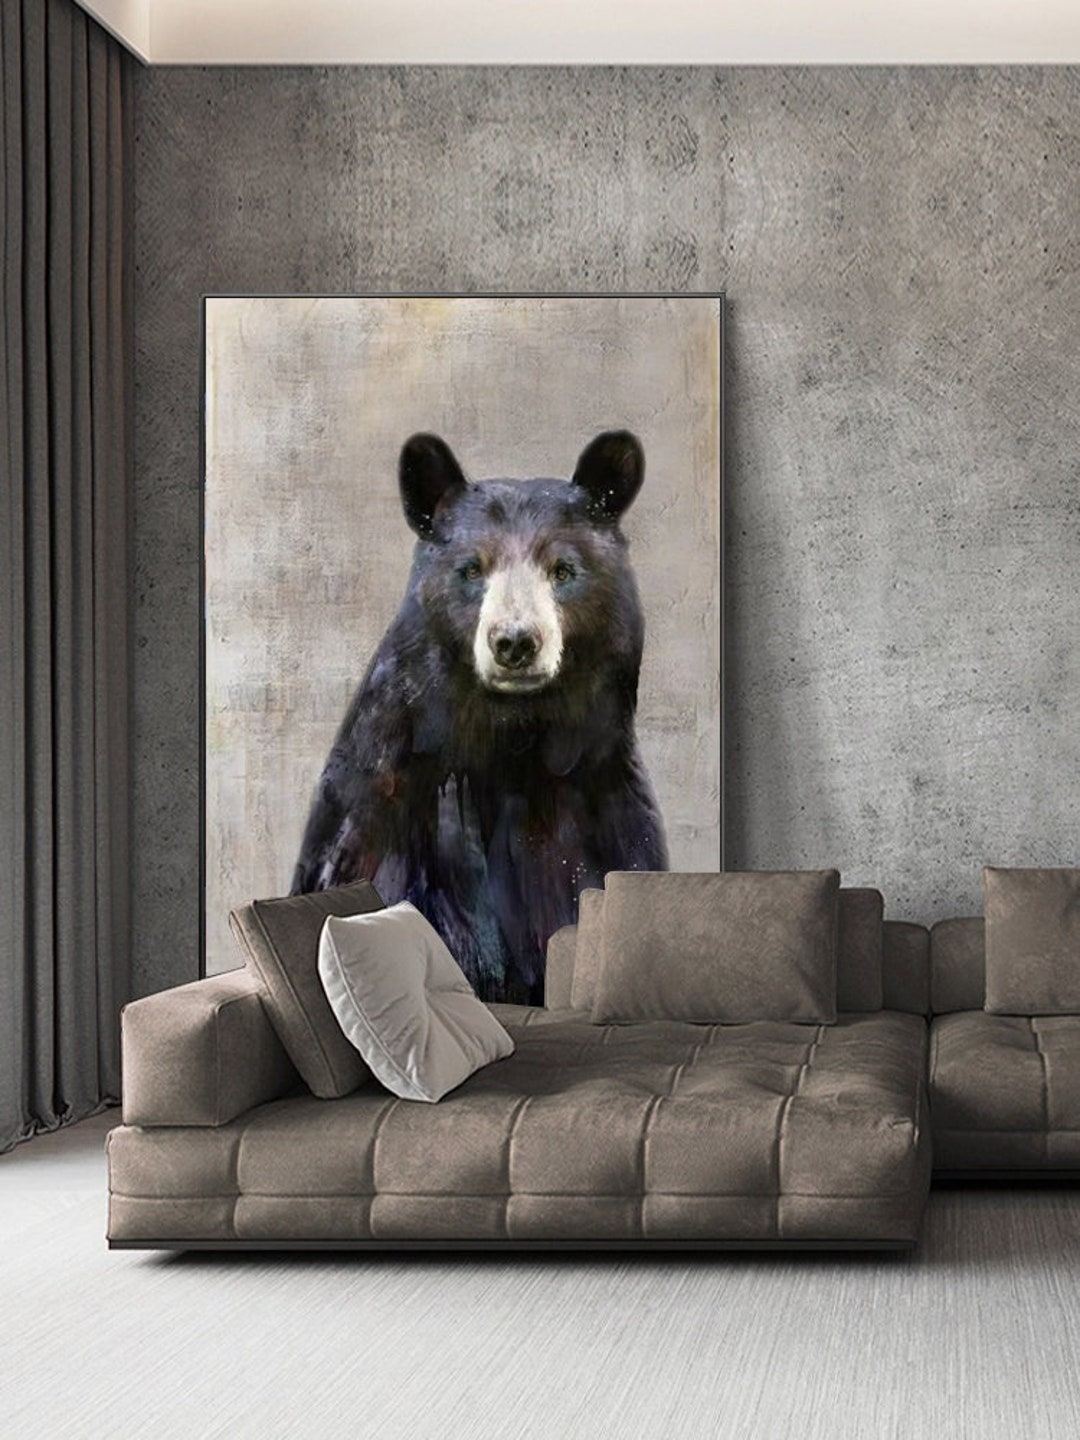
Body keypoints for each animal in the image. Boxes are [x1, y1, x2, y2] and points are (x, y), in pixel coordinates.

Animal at [291, 429, 668, 1003]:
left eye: (563, 570)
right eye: (471, 568)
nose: (514, 641)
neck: (510, 741)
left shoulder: (606, 815)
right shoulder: (372, 817)